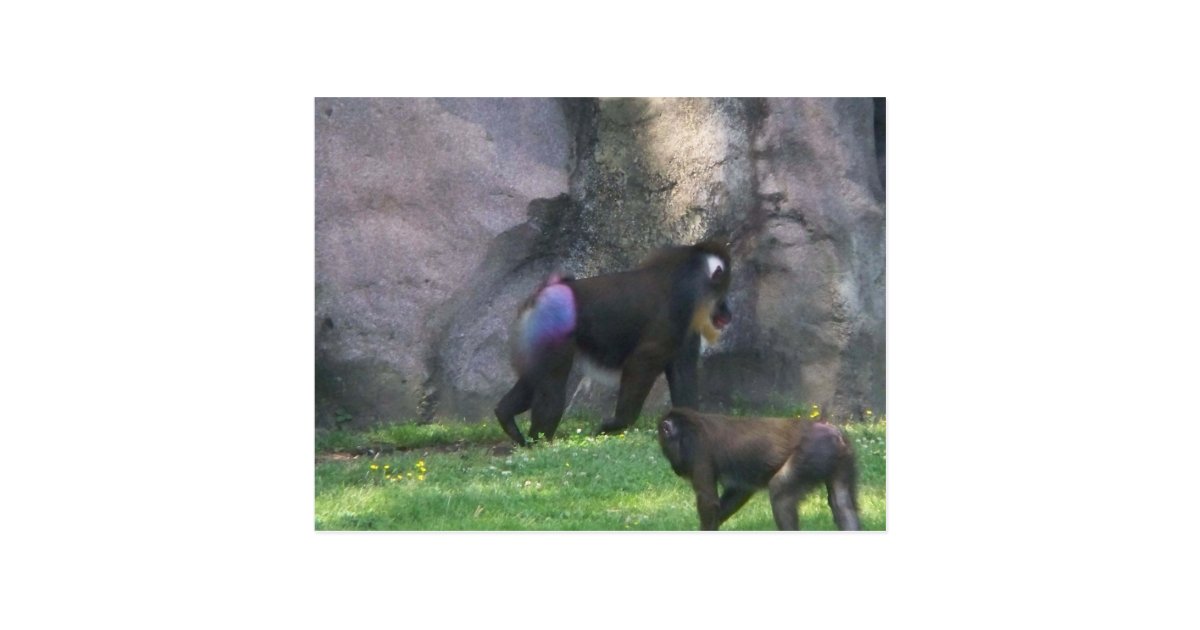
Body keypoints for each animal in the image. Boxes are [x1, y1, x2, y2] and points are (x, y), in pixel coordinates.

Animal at [494, 241, 733, 447]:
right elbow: (640, 364)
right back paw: (540, 441)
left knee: (533, 380)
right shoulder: (667, 328)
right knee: (551, 388)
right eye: (722, 291)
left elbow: (684, 376)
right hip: (554, 335)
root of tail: (544, 294)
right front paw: (614, 426)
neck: (687, 280)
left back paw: (507, 418)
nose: (727, 313)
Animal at [657, 407, 861, 531]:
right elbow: (739, 492)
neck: (689, 425)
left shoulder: (697, 450)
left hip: (815, 450)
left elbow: (708, 502)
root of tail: (834, 433)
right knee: (842, 503)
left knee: (781, 493)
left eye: (665, 448)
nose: (675, 468)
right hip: (839, 457)